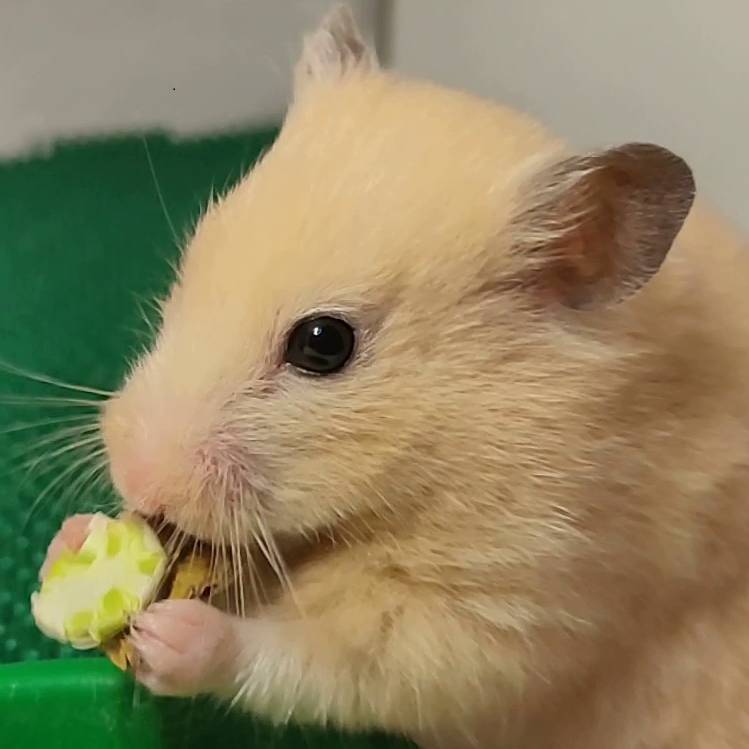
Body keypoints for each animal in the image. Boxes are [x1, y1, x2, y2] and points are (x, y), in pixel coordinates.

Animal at [44, 5, 749, 748]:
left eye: (323, 344)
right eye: (189, 270)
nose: (135, 477)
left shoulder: (507, 611)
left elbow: (326, 659)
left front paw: (173, 635)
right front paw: (73, 539)